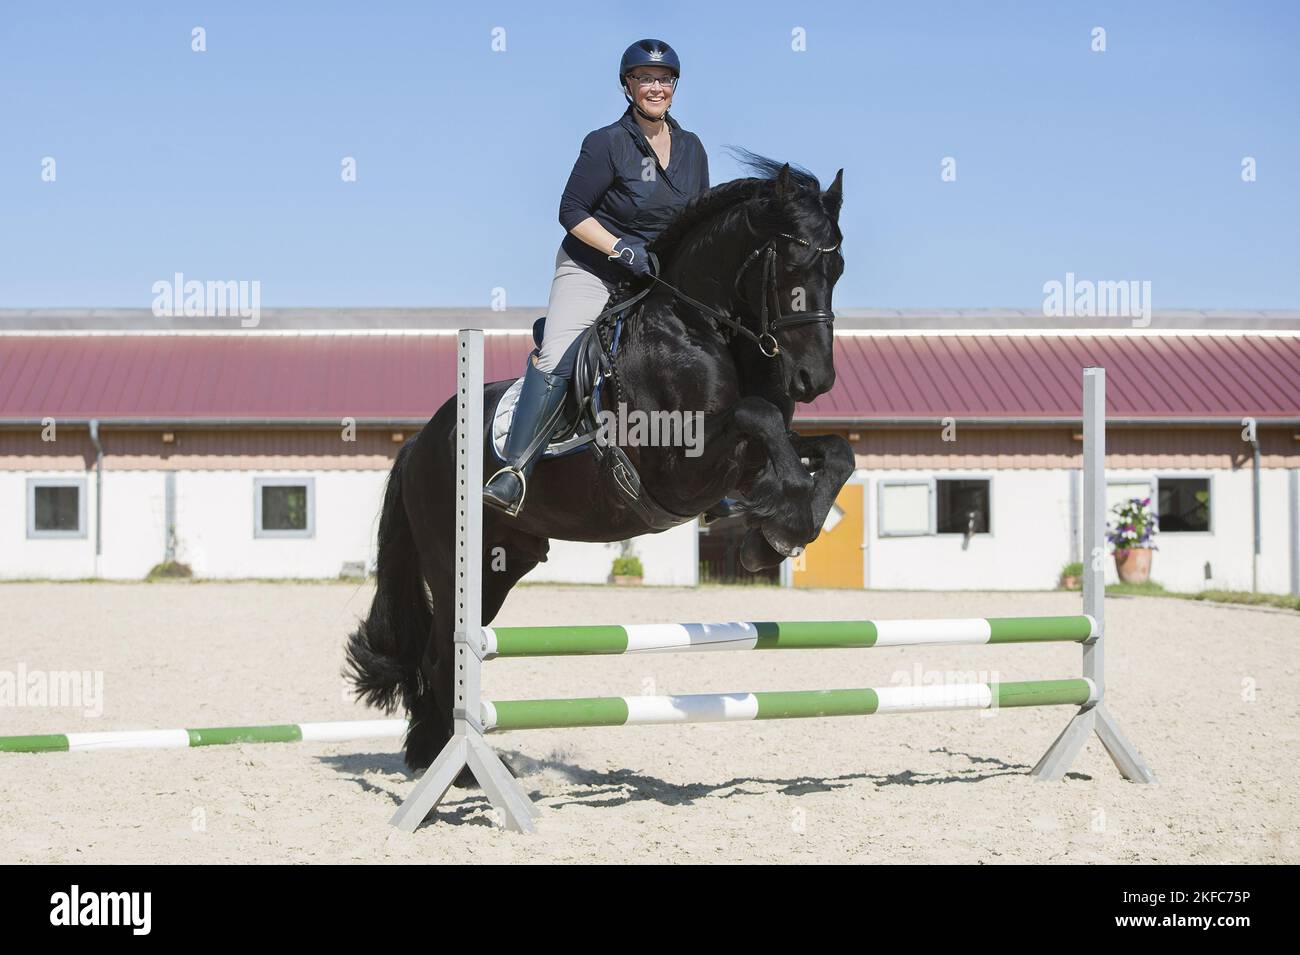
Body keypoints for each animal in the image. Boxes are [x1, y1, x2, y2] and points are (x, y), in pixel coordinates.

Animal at [347, 155, 856, 771]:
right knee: (441, 653)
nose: (814, 380)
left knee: (446, 654)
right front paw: (786, 525)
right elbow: (757, 415)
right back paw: (446, 765)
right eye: (793, 267)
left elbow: (832, 449)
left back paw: (445, 760)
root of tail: (421, 439)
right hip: (451, 562)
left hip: (503, 563)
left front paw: (776, 532)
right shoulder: (680, 470)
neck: (697, 330)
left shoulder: (748, 458)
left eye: (839, 268)